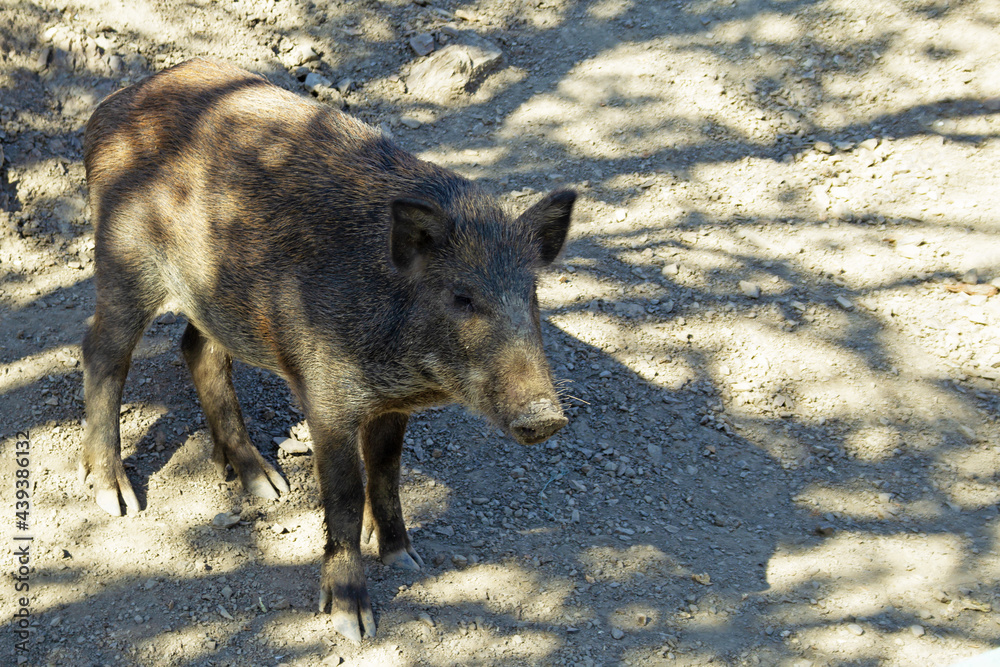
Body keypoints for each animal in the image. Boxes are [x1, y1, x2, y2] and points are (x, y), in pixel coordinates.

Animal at [79, 58, 574, 642]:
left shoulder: (391, 405)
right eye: (462, 297)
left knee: (198, 349)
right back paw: (117, 498)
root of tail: (109, 104)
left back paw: (265, 486)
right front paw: (353, 623)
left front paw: (407, 559)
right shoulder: (326, 397)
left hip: (216, 298)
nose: (546, 416)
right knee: (102, 354)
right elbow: (343, 494)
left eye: (533, 292)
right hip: (122, 262)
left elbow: (386, 472)